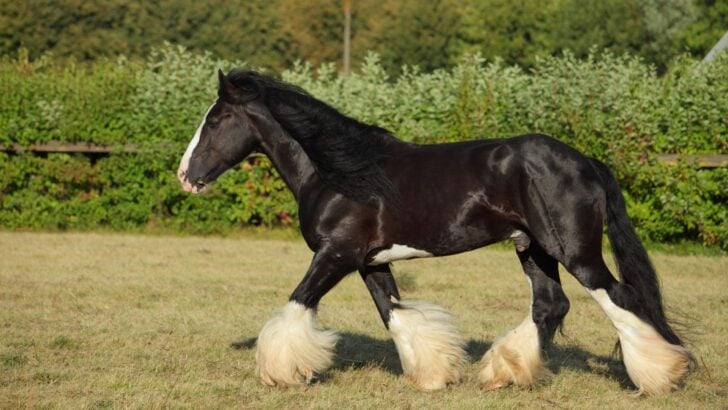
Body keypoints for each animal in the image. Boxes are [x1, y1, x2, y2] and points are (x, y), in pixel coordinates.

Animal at [177, 69, 693, 394]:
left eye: (216, 120)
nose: (185, 175)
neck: (338, 173)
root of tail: (585, 161)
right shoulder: (369, 262)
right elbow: (396, 315)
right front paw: (433, 376)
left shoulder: (335, 254)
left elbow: (297, 306)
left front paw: (279, 374)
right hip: (533, 248)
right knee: (550, 305)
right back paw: (502, 373)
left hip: (575, 251)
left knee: (620, 298)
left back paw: (662, 376)